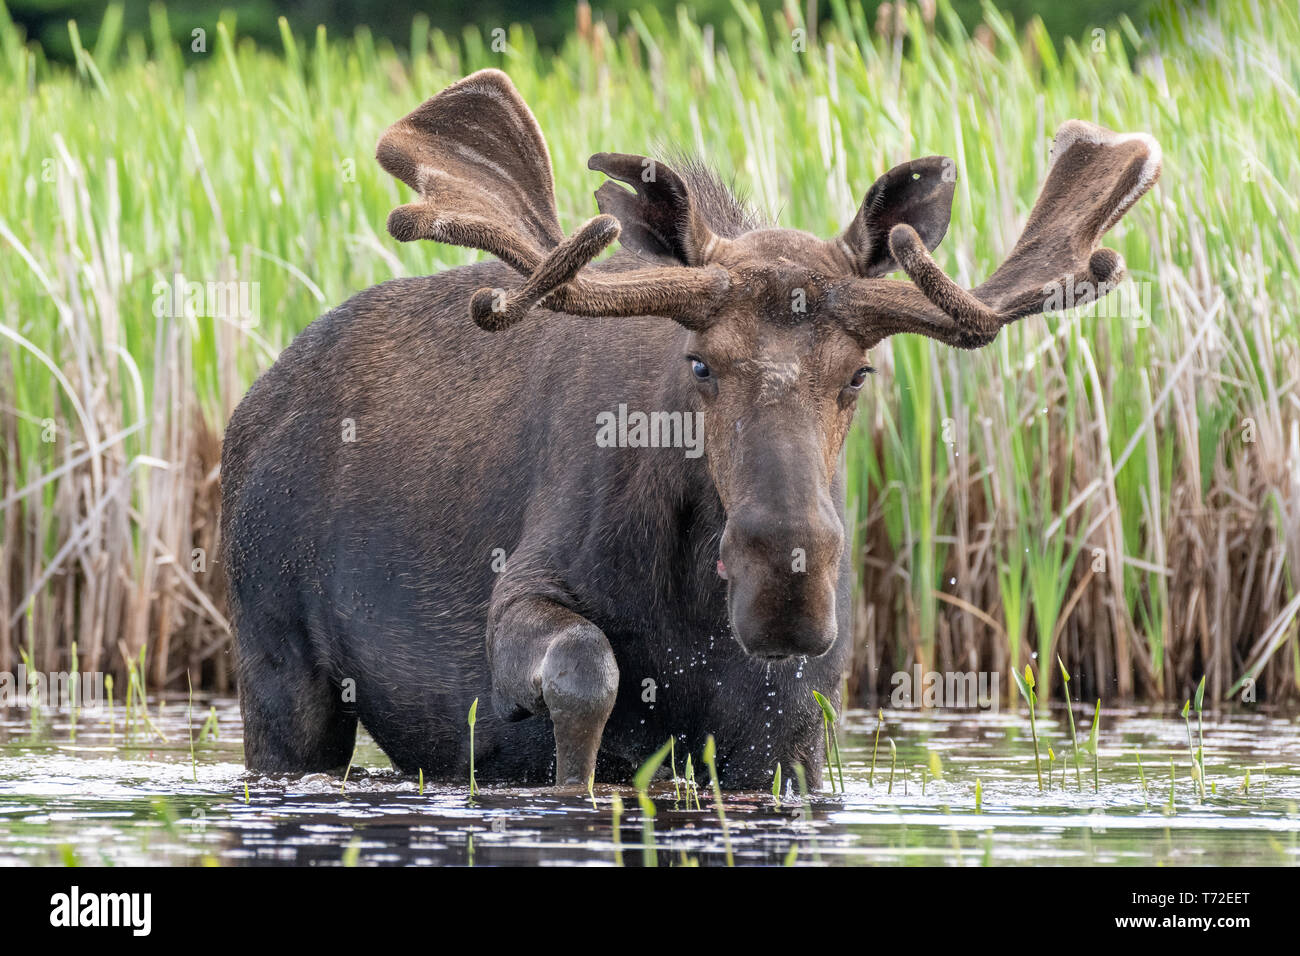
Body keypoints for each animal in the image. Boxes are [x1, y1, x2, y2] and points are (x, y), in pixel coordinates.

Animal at [220, 69, 1160, 788]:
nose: (787, 581)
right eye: (701, 364)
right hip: (276, 668)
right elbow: (585, 672)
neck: (692, 608)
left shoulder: (789, 728)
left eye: (858, 374)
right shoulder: (519, 596)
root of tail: (250, 403)